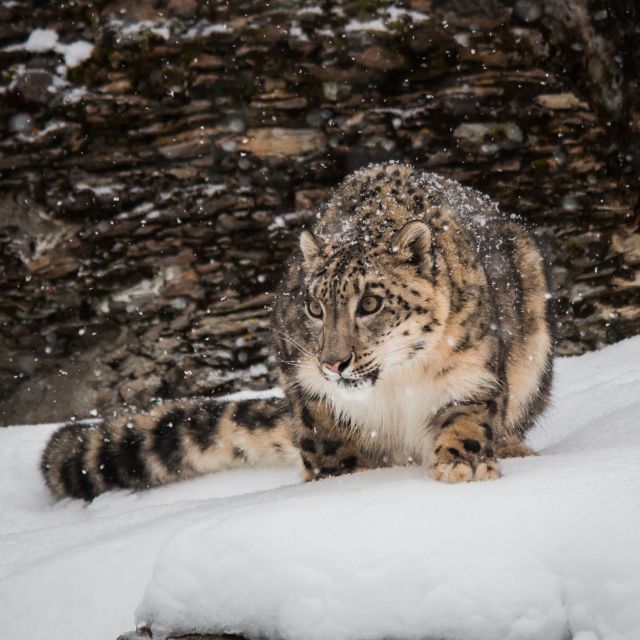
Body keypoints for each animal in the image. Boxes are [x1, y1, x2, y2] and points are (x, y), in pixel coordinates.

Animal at [41, 163, 554, 500]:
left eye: (370, 303)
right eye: (313, 306)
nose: (334, 361)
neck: (396, 386)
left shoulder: (472, 371)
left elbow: (467, 417)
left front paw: (462, 467)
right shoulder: (306, 382)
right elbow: (328, 438)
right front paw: (338, 482)